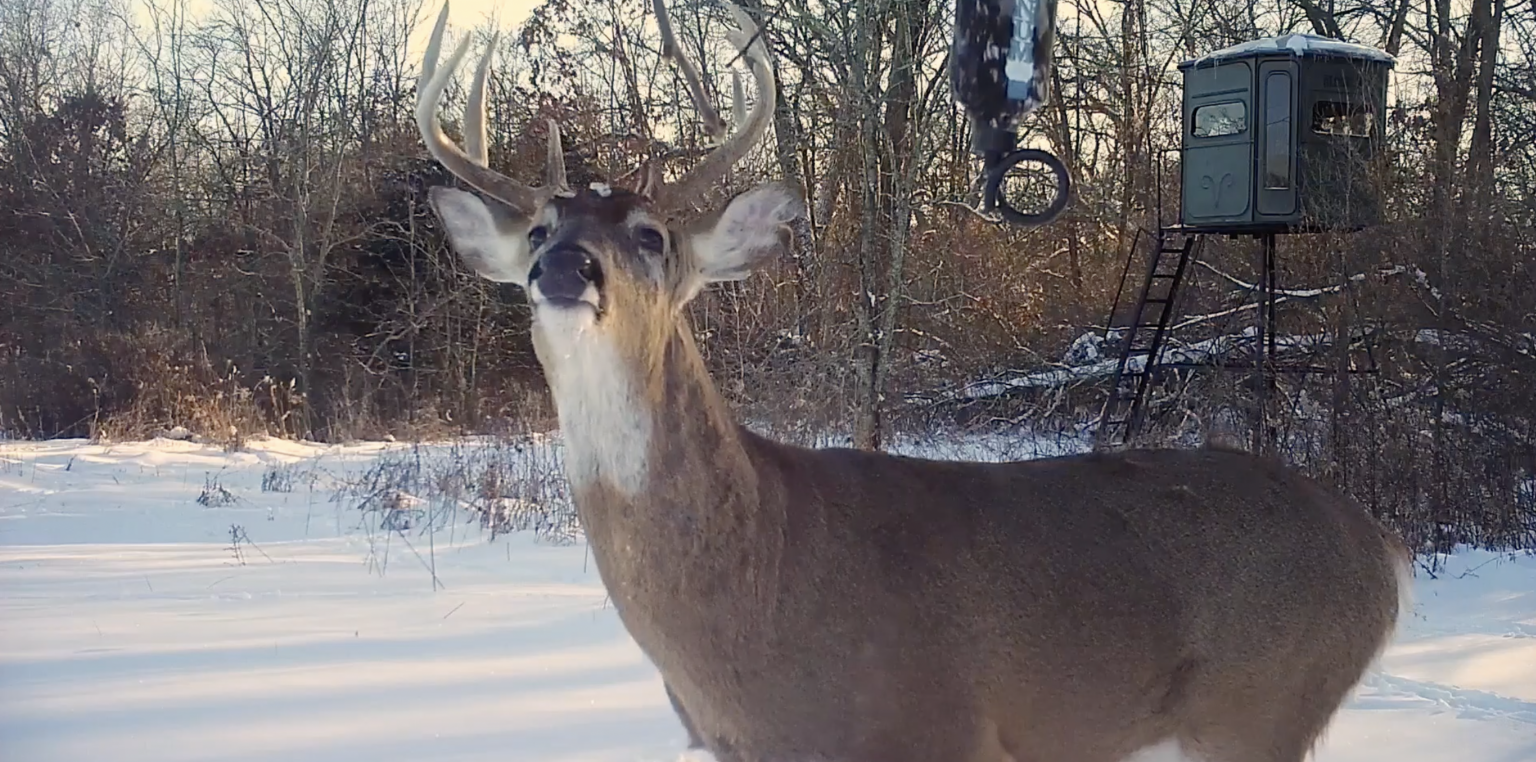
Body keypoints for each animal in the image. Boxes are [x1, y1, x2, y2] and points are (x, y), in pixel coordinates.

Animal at [414, 2, 1413, 761]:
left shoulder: (936, 727)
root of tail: (1379, 552)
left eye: (652, 235)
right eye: (539, 230)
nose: (566, 268)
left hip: (1263, 705)